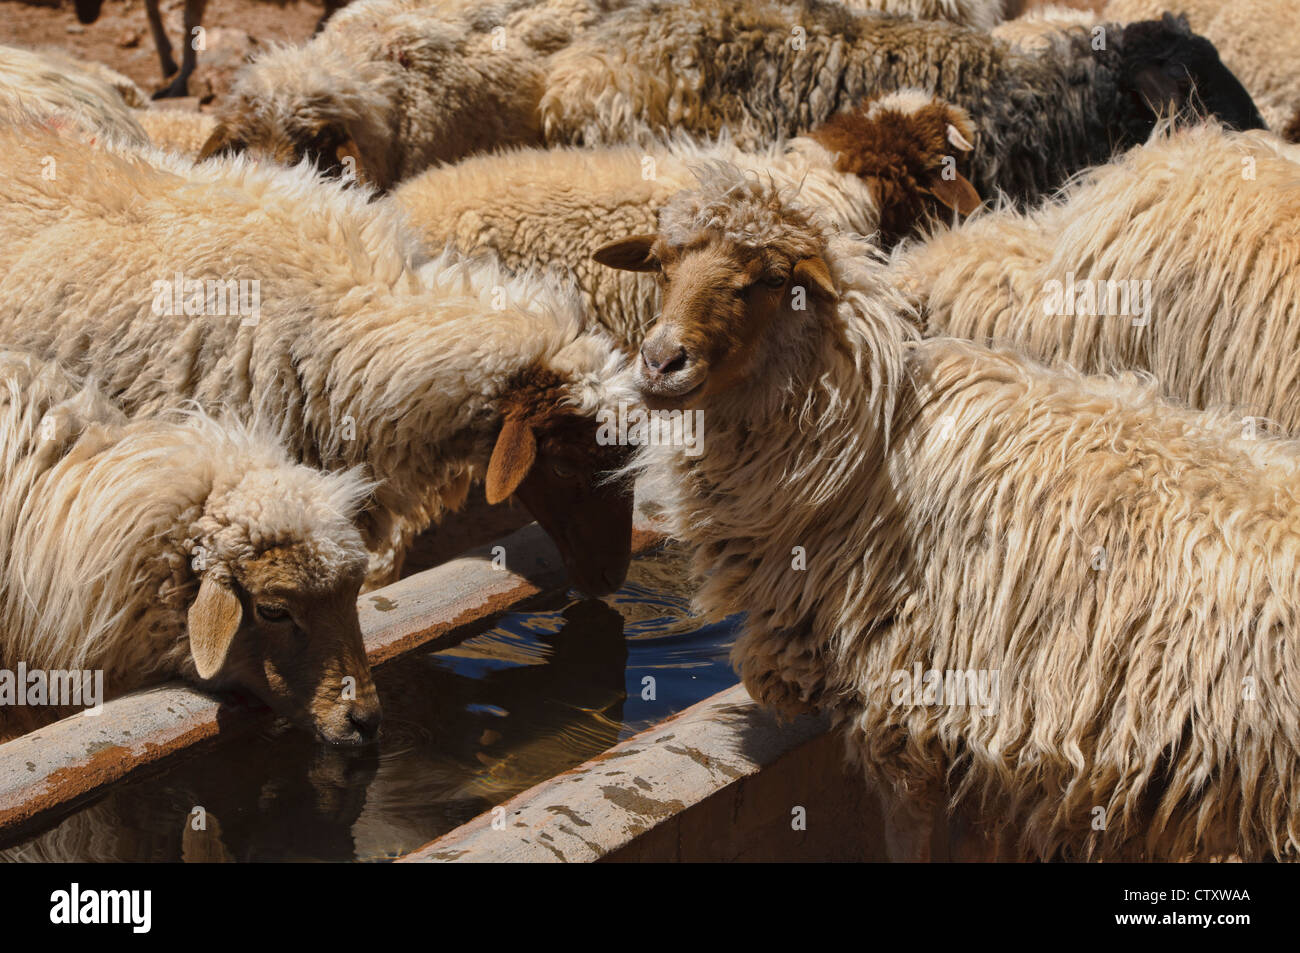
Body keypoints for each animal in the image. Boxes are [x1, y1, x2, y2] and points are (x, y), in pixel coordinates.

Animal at [596, 164, 1300, 861]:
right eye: (661, 265)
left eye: (772, 279)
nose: (660, 362)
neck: (866, 448)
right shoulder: (997, 754)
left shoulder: (908, 709)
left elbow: (909, 838)